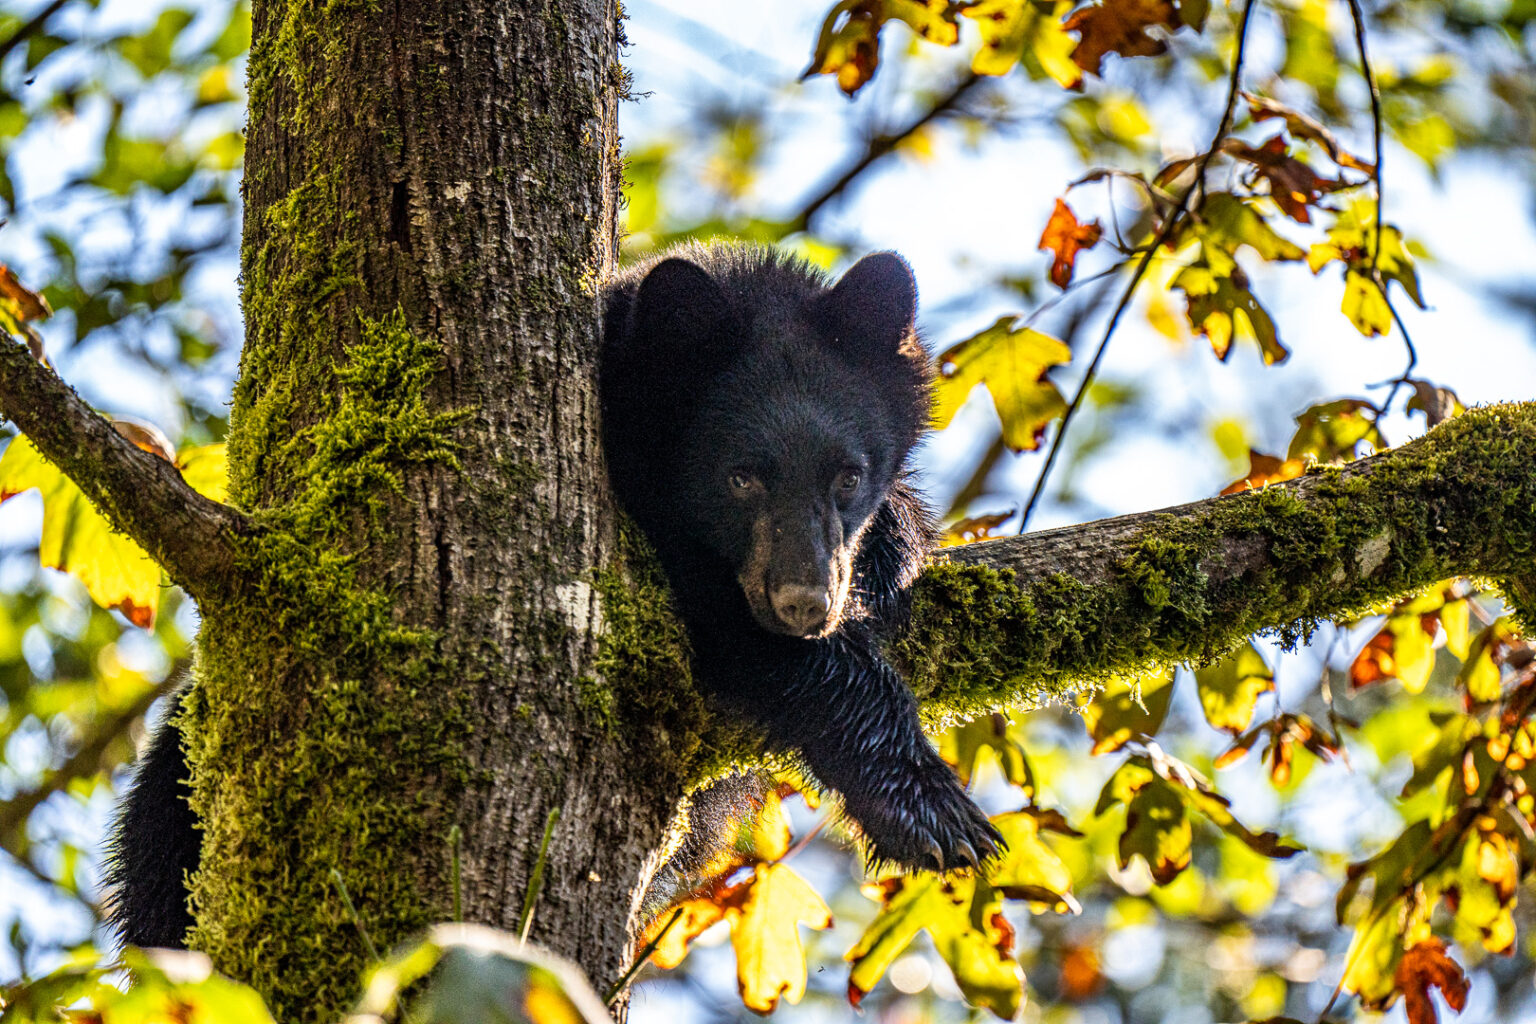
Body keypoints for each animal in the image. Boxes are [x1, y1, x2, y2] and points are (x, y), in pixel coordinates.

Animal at [602, 242, 1000, 874]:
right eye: (740, 478)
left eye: (848, 476)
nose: (806, 605)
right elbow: (745, 631)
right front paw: (932, 813)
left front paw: (892, 555)